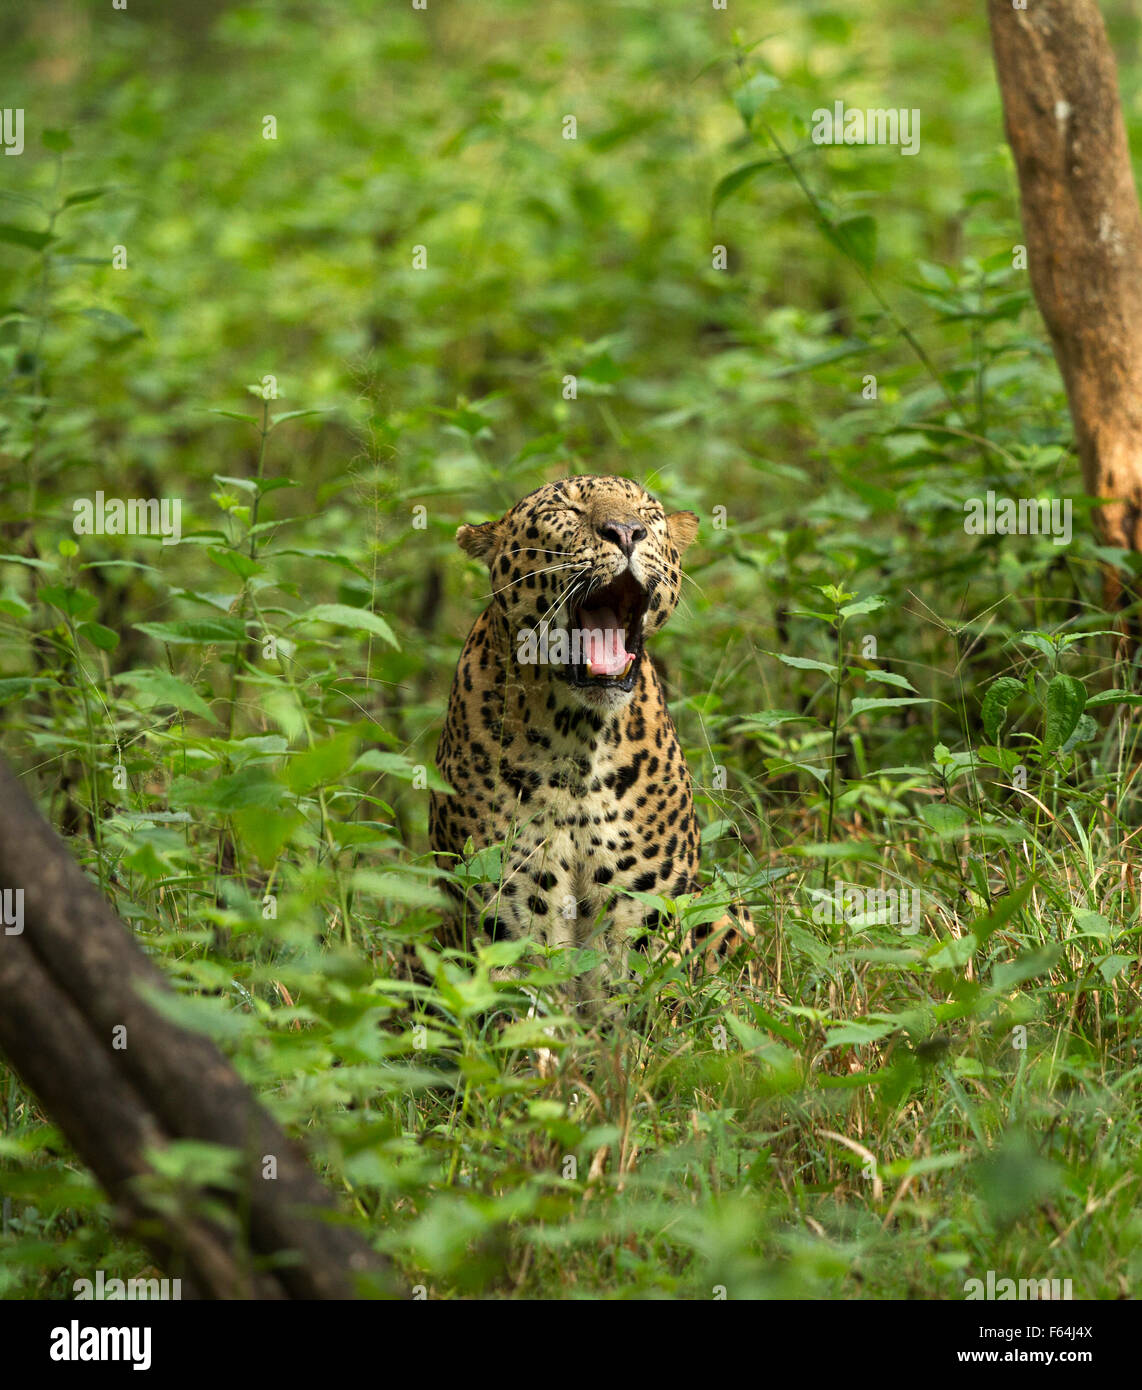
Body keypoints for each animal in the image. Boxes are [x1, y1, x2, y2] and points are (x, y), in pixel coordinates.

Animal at [429, 474, 753, 1013]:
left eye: (649, 512)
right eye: (566, 508)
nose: (625, 532)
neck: (578, 738)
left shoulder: (643, 910)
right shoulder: (511, 903)